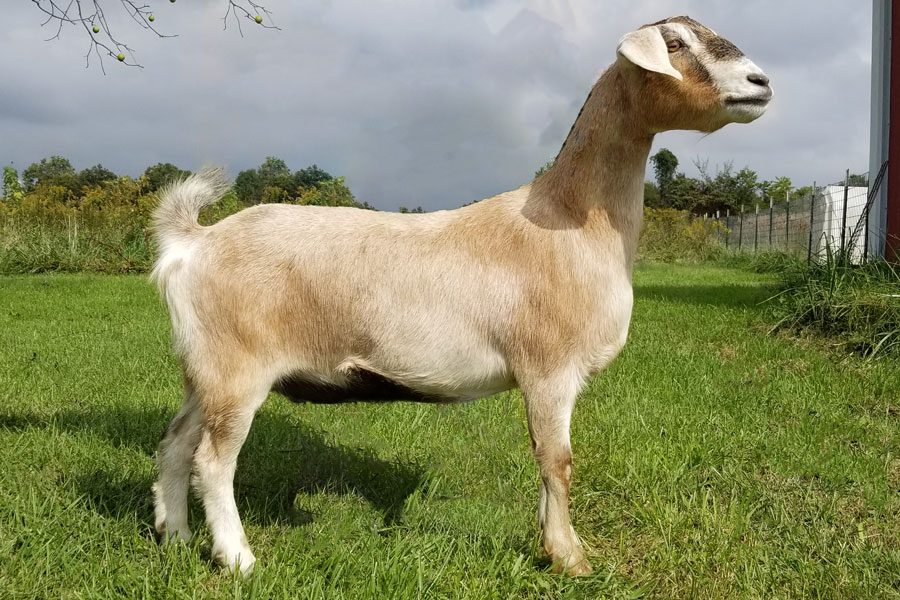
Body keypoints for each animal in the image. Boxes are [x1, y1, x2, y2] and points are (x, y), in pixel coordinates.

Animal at [150, 16, 771, 576]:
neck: (568, 222)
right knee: (212, 461)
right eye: (675, 43)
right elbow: (557, 460)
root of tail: (194, 241)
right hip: (237, 370)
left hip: (203, 371)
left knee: (176, 443)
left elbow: (547, 461)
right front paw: (570, 558)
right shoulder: (548, 368)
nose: (760, 81)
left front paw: (551, 543)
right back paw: (237, 559)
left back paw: (174, 535)